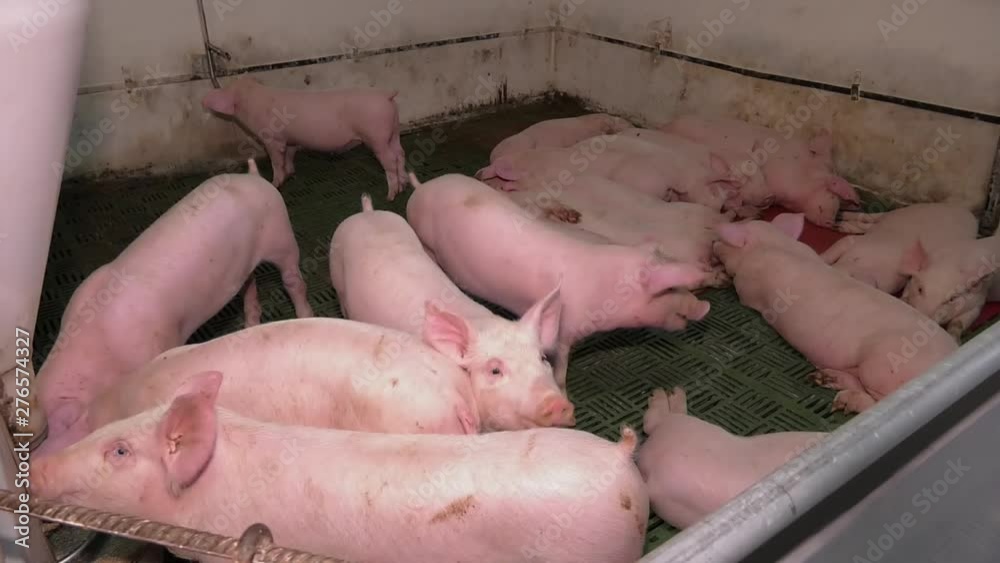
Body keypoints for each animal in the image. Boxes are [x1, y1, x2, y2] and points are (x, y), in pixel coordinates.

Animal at [36, 160, 313, 456]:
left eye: (56, 433)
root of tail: (254, 177)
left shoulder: (157, 342)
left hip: (281, 235)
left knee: (293, 279)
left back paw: (306, 313)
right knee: (249, 284)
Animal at [202, 76, 407, 199]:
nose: (205, 99)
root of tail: (386, 95)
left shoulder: (272, 139)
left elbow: (276, 161)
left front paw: (275, 183)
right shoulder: (291, 139)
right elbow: (289, 155)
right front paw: (291, 173)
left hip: (377, 136)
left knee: (390, 160)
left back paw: (391, 195)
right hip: (394, 131)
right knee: (400, 153)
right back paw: (404, 184)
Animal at [407, 172, 710, 390]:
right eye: (669, 287)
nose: (704, 306)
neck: (606, 285)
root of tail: (421, 188)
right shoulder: (564, 329)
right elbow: (561, 366)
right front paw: (563, 389)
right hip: (426, 241)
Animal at [713, 213, 958, 413]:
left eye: (725, 240)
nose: (713, 242)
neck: (771, 244)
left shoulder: (748, 287)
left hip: (880, 367)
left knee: (879, 403)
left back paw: (844, 401)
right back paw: (822, 378)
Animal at [821, 204, 978, 295]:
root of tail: (971, 216)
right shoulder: (855, 243)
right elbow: (836, 248)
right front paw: (820, 257)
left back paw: (840, 223)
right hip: (906, 211)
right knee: (874, 217)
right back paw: (840, 219)